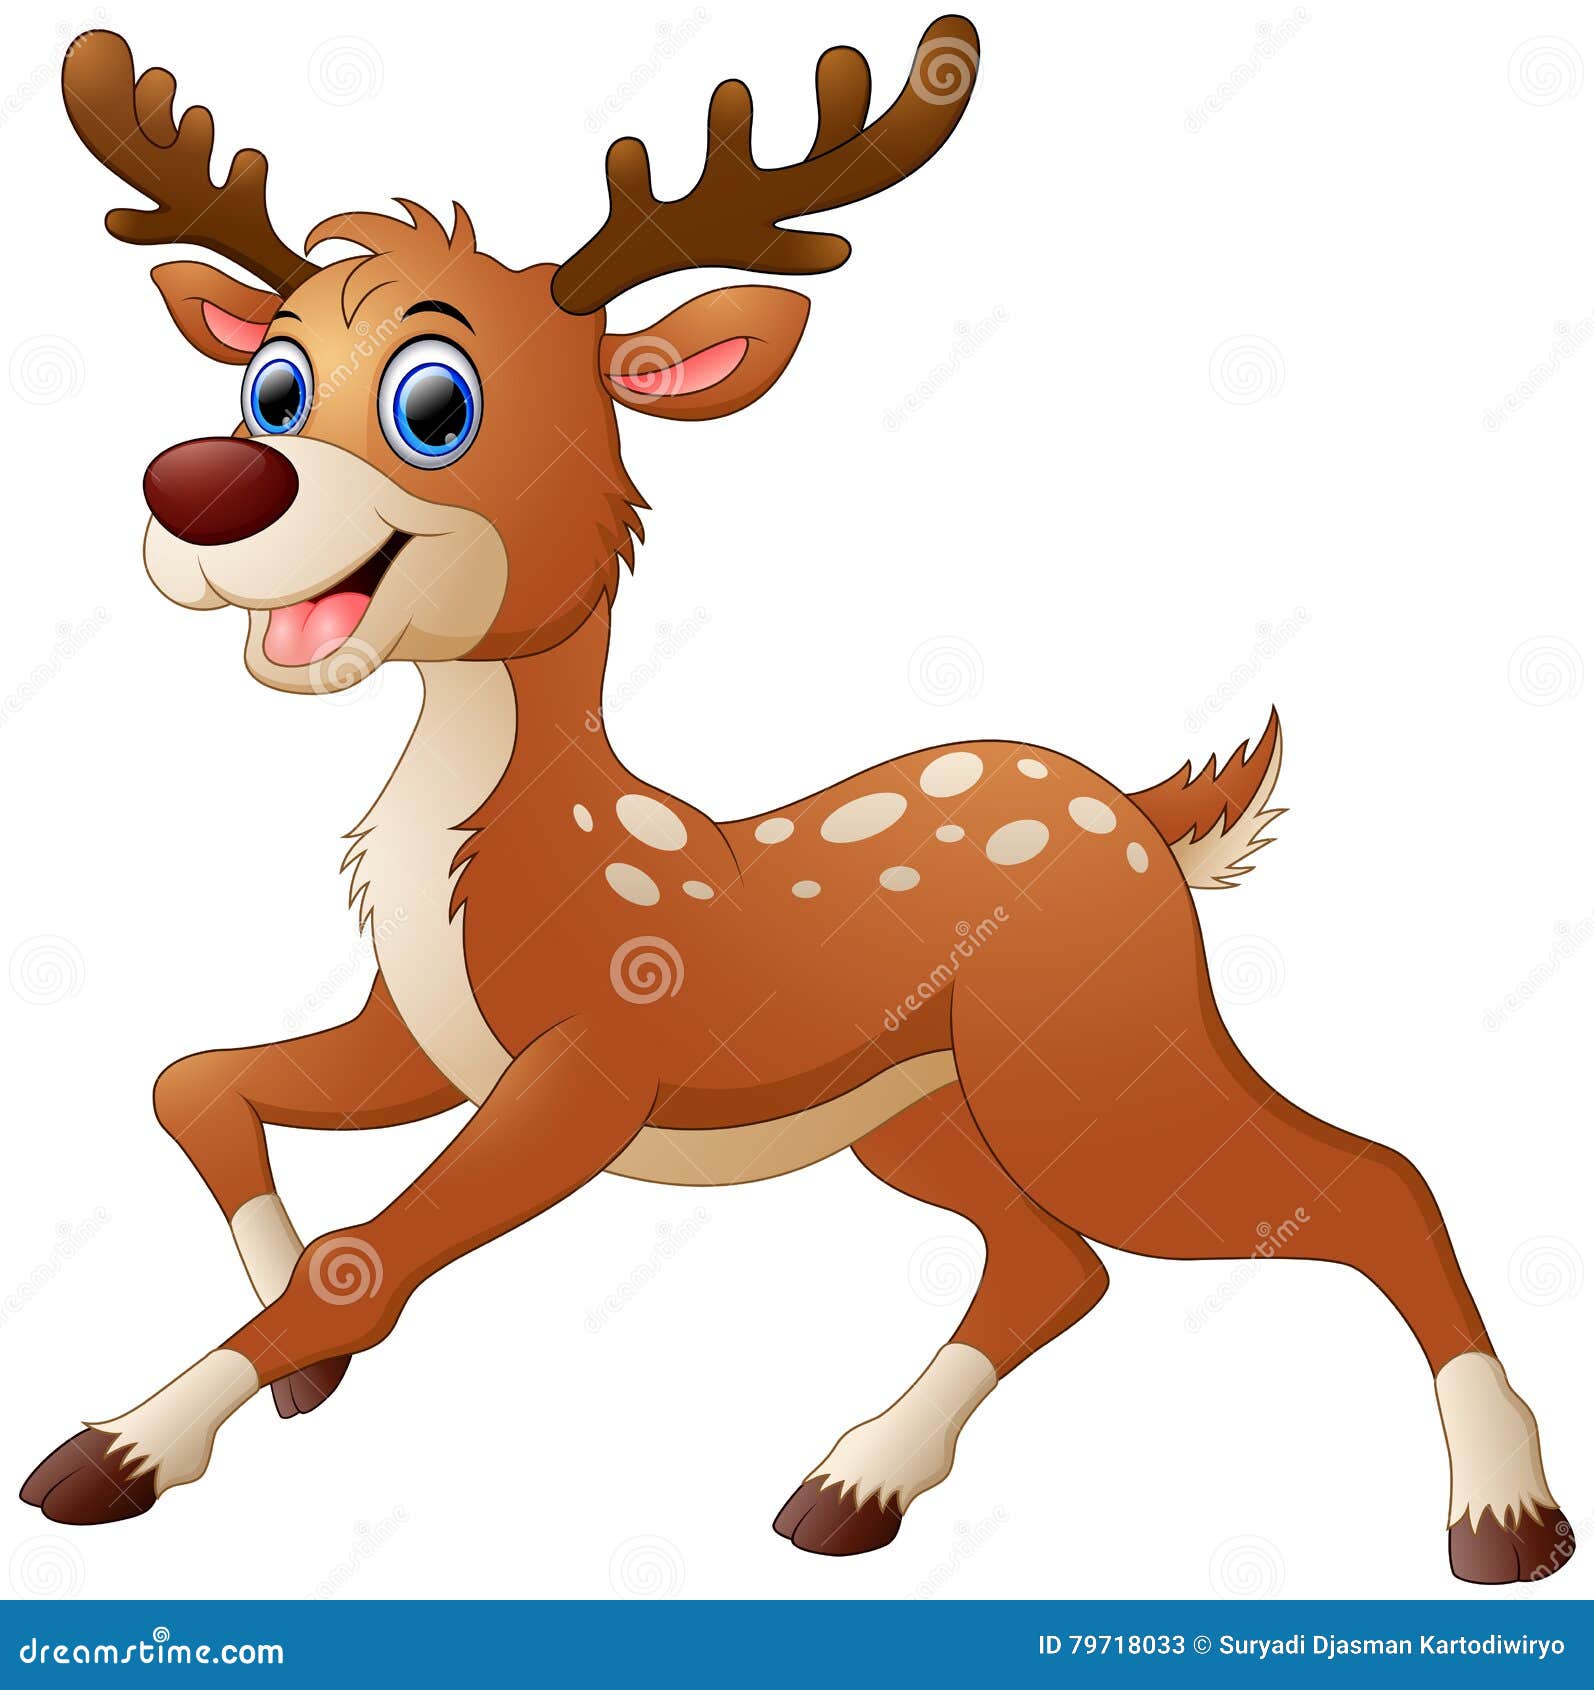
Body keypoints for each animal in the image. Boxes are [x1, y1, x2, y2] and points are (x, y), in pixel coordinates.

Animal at [21, 20, 1575, 1585]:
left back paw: (1503, 1519)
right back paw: (850, 1485)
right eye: (271, 384)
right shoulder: (423, 1033)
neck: (484, 850)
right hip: (926, 1110)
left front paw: (119, 1450)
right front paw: (297, 1380)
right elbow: (191, 1082)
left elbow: (371, 1257)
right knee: (1056, 1261)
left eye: (436, 403)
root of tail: (1143, 821)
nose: (202, 484)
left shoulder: (594, 1058)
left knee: (1370, 1180)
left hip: (1104, 1064)